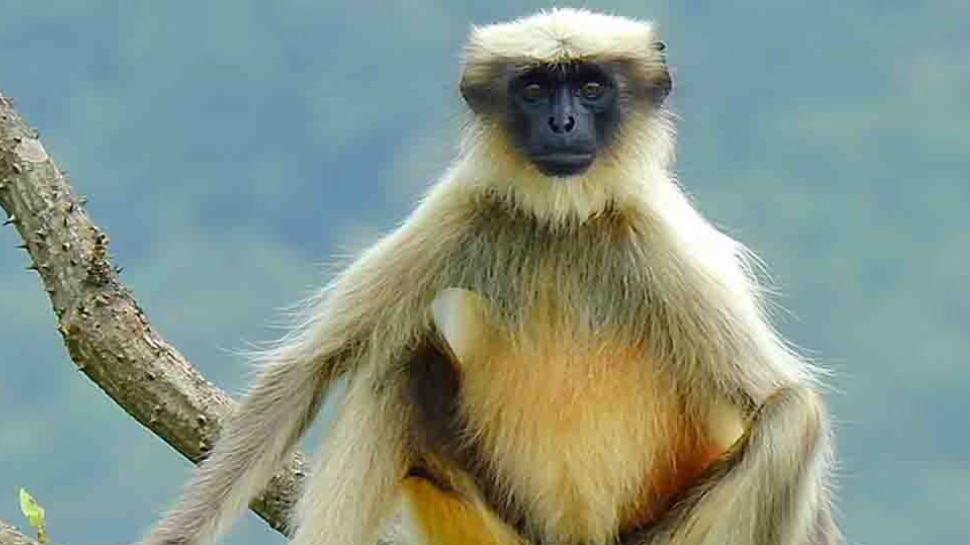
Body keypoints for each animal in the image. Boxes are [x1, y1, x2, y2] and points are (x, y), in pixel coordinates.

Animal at [140, 8, 838, 545]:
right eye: (534, 90)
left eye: (590, 88)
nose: (563, 122)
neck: (561, 225)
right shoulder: (465, 210)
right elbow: (309, 366)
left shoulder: (657, 243)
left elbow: (781, 402)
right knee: (397, 367)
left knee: (793, 418)